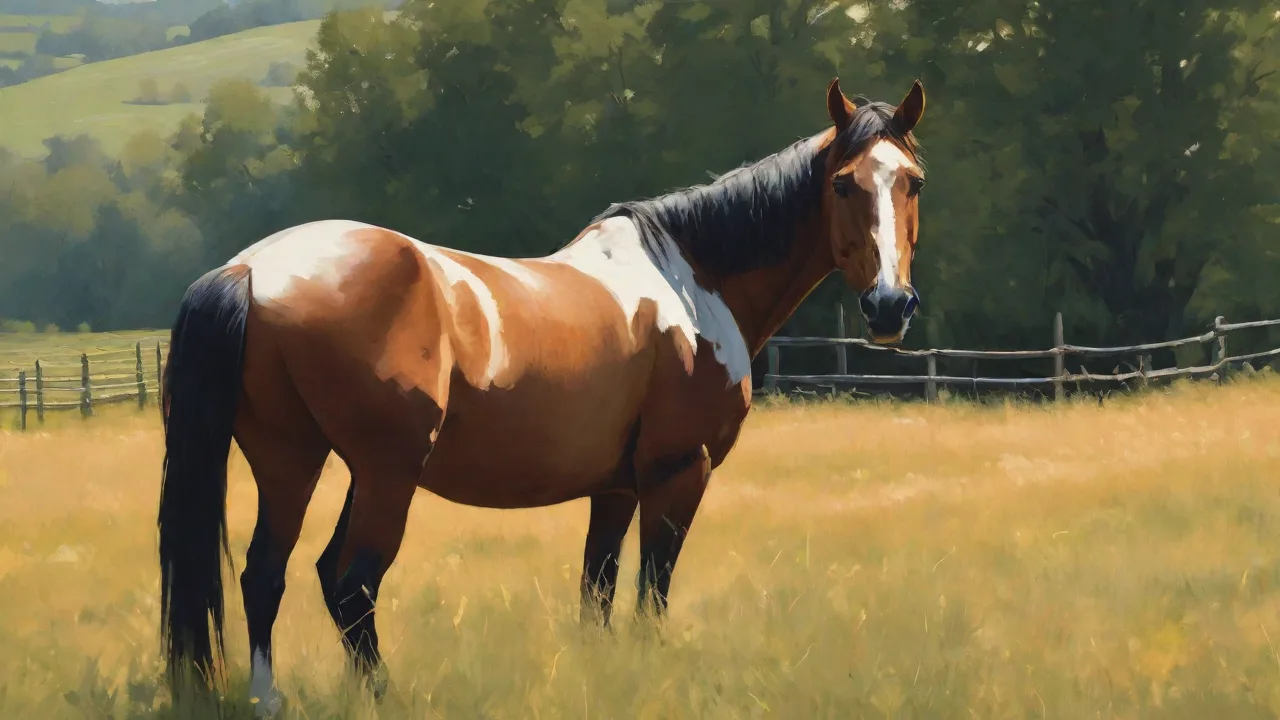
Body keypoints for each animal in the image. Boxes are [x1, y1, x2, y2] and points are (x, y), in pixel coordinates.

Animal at [156, 77, 928, 715]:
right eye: (844, 185)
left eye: (913, 183)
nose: (890, 307)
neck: (693, 280)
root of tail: (250, 269)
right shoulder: (677, 472)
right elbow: (650, 592)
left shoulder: (615, 487)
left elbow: (597, 590)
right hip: (381, 473)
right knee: (350, 585)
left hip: (295, 460)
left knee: (273, 574)